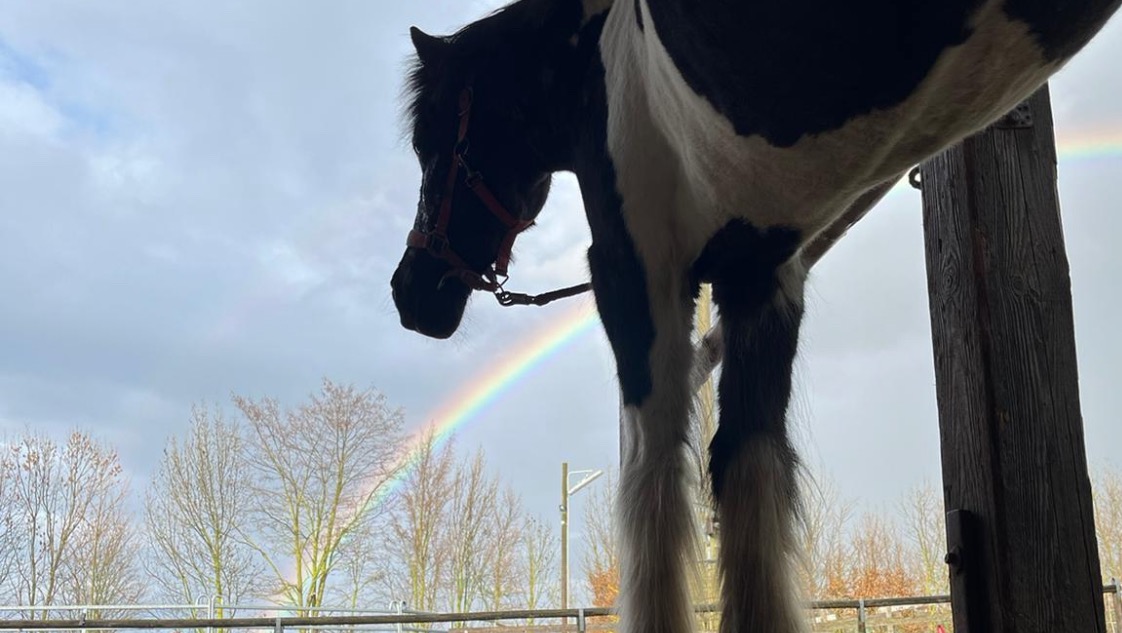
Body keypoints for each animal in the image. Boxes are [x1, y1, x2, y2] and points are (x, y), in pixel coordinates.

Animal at [390, 0, 1120, 631]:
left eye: (429, 144)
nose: (408, 294)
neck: (596, 56)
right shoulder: (761, 275)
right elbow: (748, 469)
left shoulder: (638, 273)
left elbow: (656, 488)